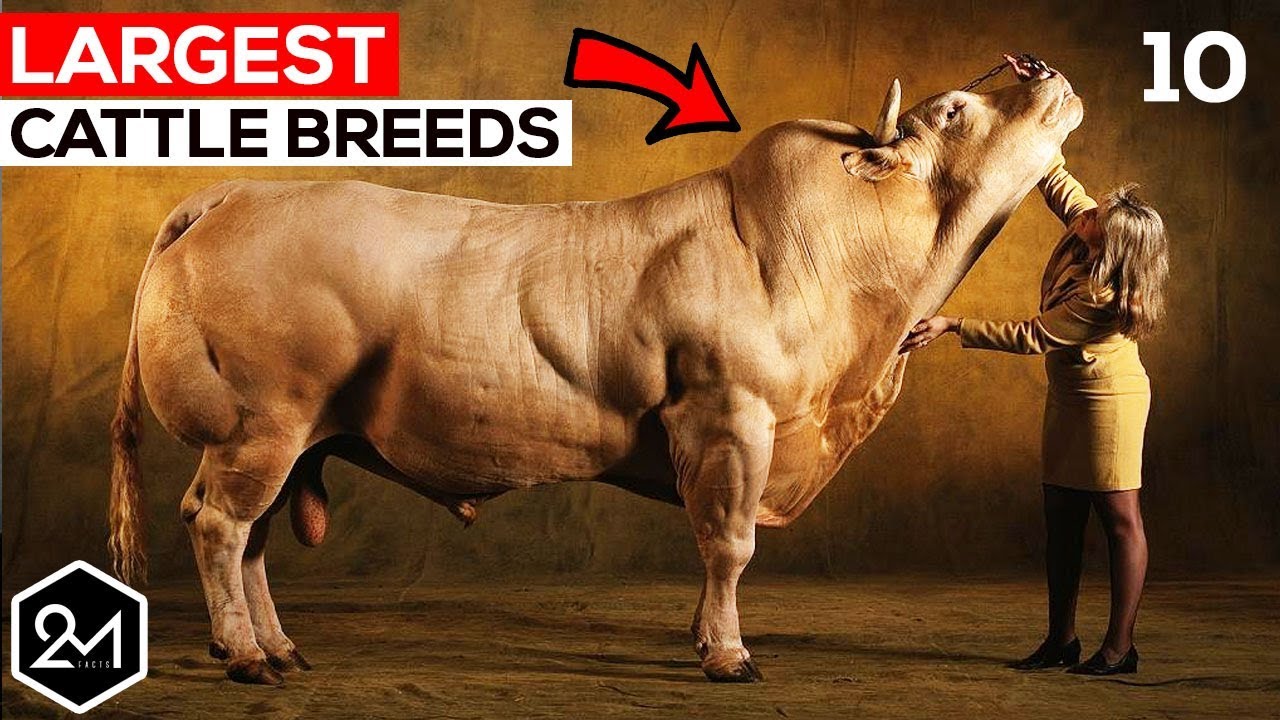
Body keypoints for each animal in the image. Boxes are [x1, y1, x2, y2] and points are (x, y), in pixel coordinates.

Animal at [107, 71, 1083, 685]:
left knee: (254, 539)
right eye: (955, 109)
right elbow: (729, 543)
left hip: (294, 438)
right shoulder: (730, 418)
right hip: (259, 426)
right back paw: (243, 657)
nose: (1042, 71)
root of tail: (234, 192)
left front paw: (703, 636)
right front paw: (726, 654)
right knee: (219, 526)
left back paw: (278, 647)